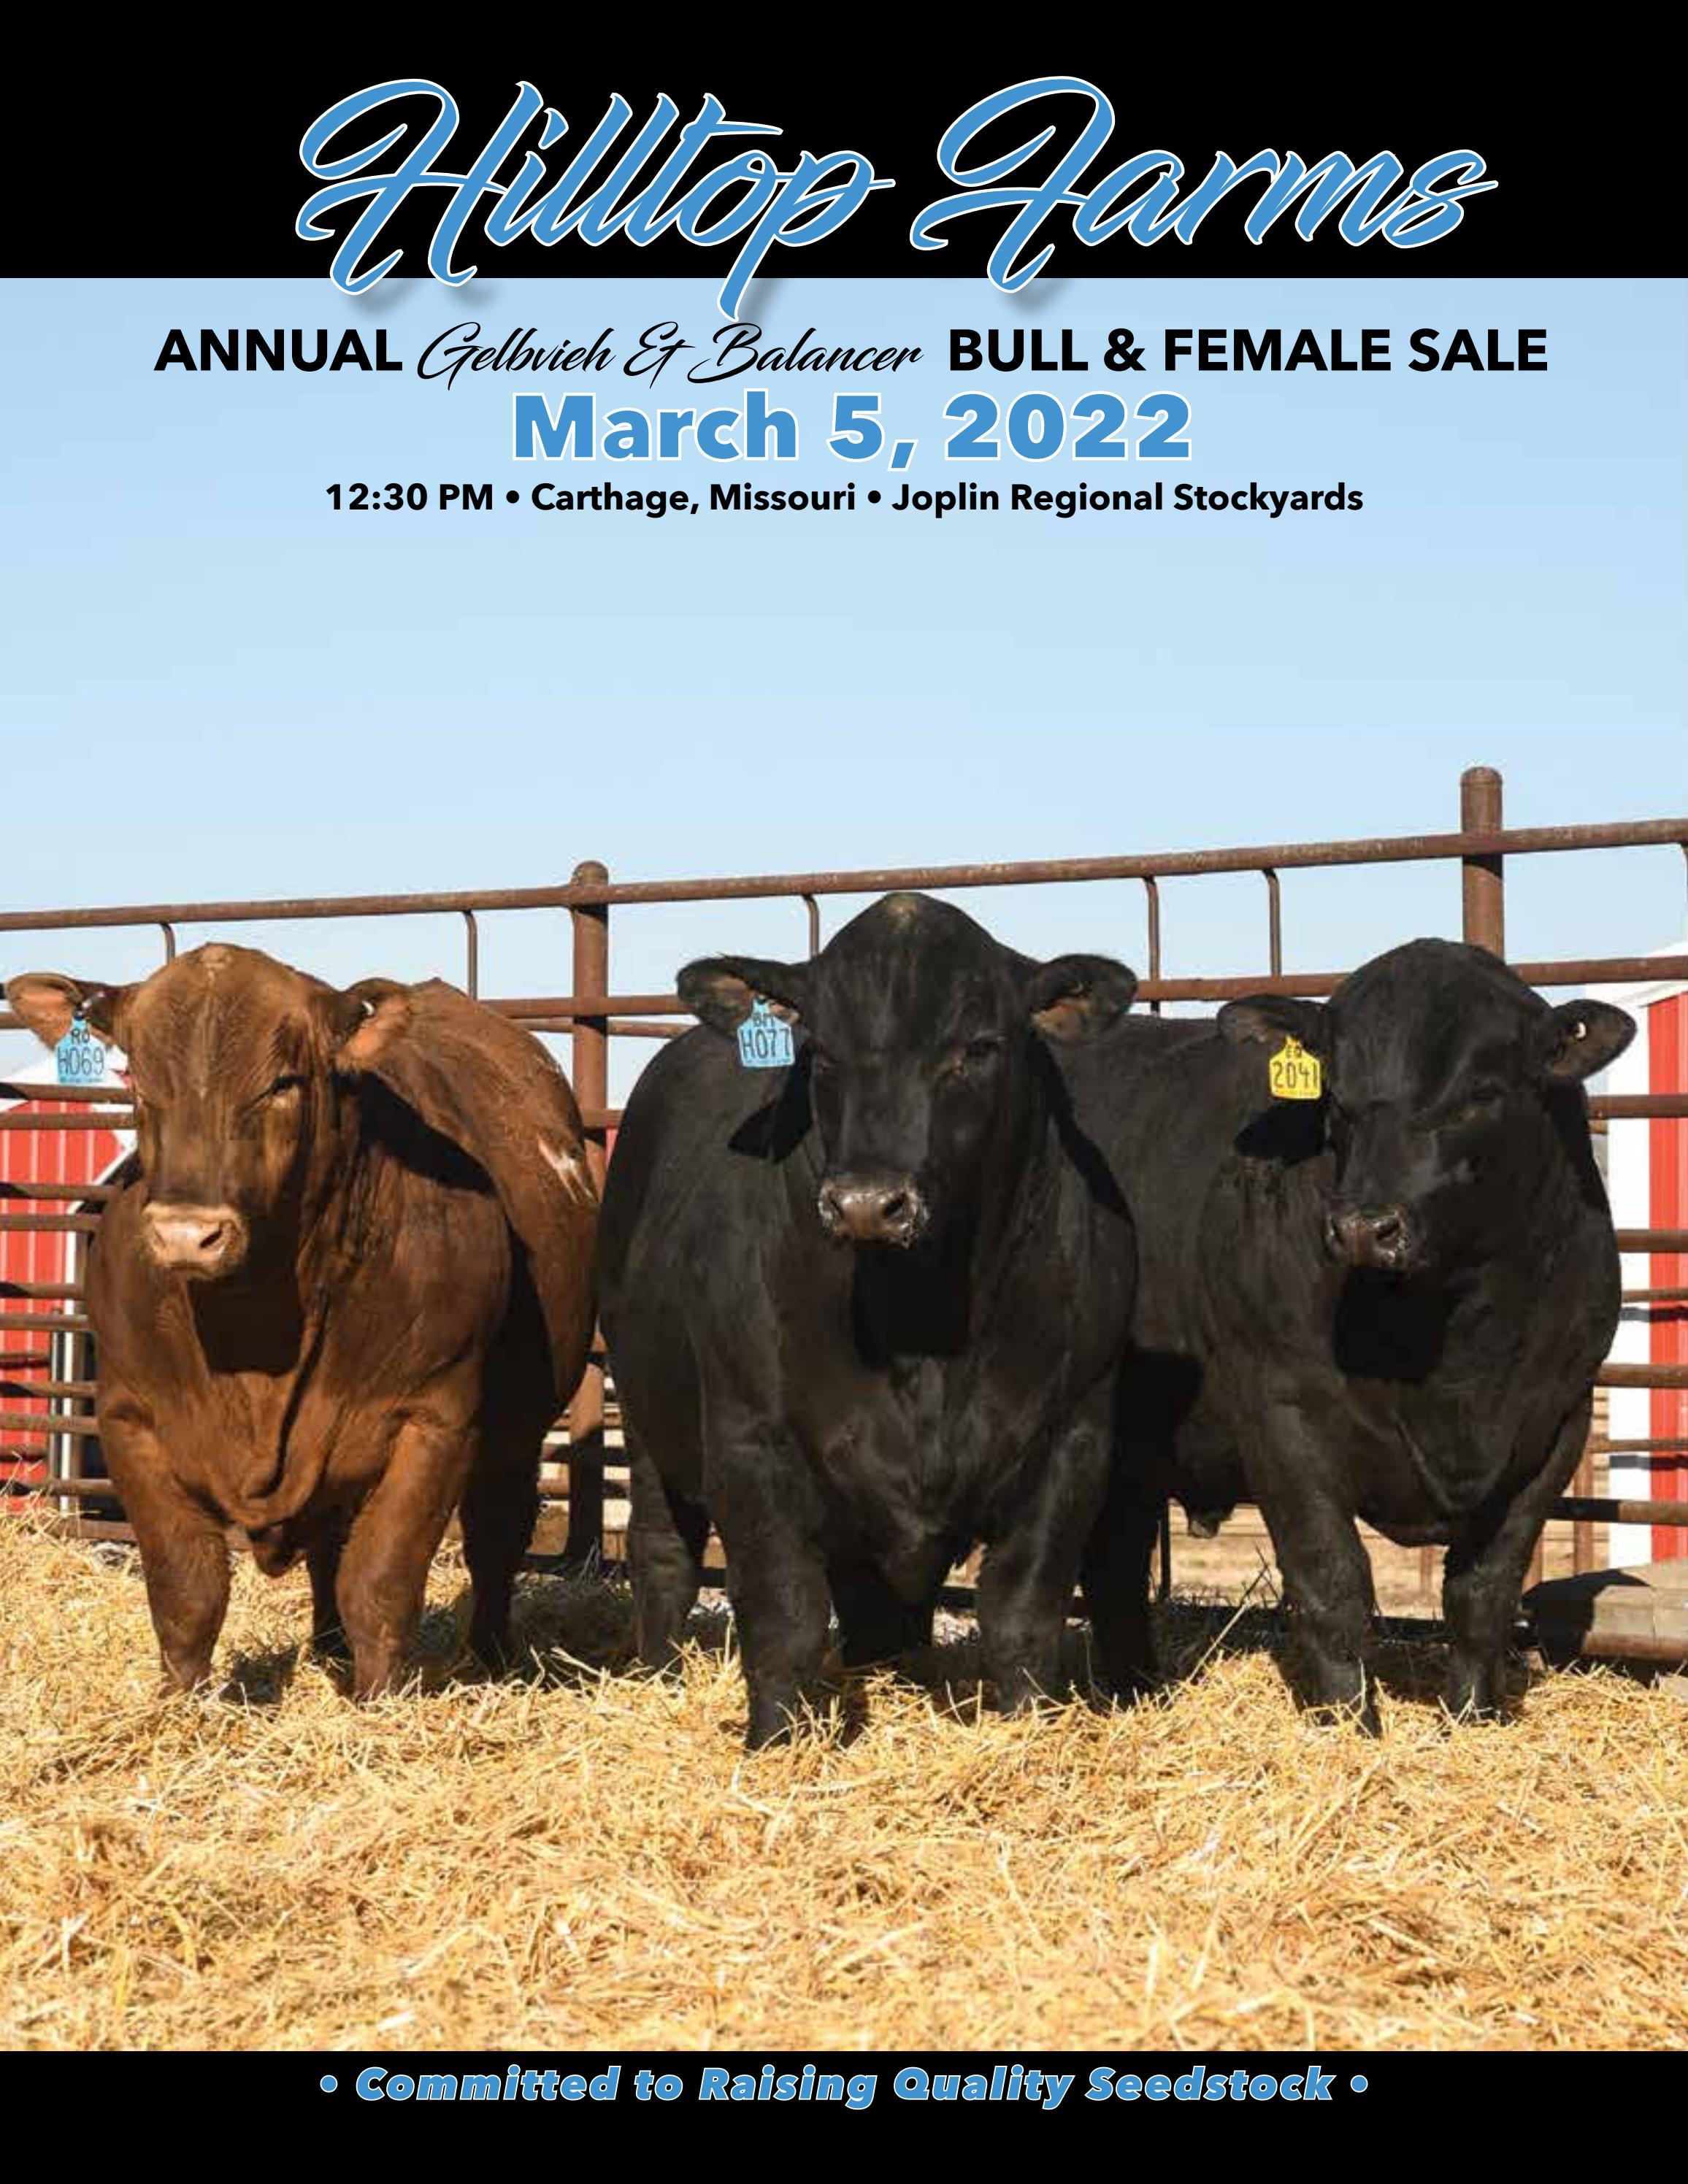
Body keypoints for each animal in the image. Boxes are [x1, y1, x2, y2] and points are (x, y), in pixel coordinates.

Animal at [5, 946, 597, 1698]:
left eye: (282, 1082)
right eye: (138, 1075)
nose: (186, 1233)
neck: (255, 1336)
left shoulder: (434, 1420)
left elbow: (380, 1581)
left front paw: (378, 1703)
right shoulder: (129, 1417)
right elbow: (186, 1587)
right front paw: (178, 1703)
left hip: (519, 1427)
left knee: (495, 1536)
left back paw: (489, 1658)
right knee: (328, 1547)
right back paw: (327, 1649)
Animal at [597, 892, 1139, 1747]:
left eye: (978, 1046)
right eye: (818, 1050)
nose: (865, 1203)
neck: (922, 1325)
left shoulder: (1073, 1438)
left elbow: (1023, 1614)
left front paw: (1027, 1729)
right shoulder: (750, 1439)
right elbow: (782, 1613)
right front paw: (775, 1745)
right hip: (645, 1411)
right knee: (662, 1555)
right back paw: (656, 1673)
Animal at [1071, 938, 1633, 1730]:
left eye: (1481, 1093)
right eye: (1335, 1098)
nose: (1365, 1227)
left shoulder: (1557, 1423)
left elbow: (1484, 1592)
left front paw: (1472, 1716)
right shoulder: (1282, 1415)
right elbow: (1330, 1583)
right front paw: (1349, 1726)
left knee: (1114, 1561)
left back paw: (1134, 1691)